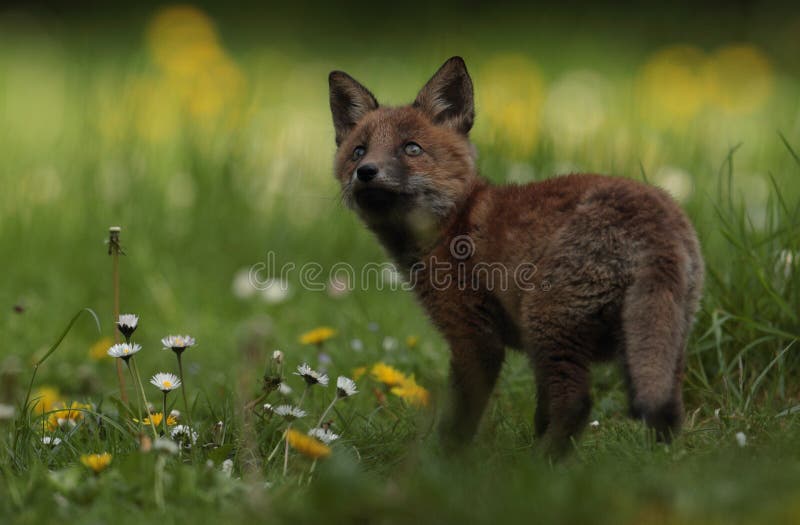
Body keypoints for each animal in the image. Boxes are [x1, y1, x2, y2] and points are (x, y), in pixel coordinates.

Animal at [328, 56, 704, 457]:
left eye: (411, 149)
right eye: (359, 151)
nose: (366, 172)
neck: (454, 224)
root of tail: (652, 220)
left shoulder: (475, 336)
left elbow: (459, 420)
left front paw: (444, 461)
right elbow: (540, 414)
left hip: (549, 324)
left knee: (576, 403)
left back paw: (539, 464)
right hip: (662, 342)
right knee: (666, 410)